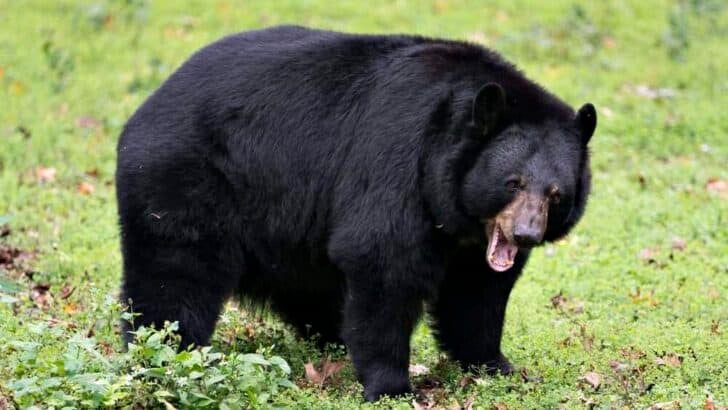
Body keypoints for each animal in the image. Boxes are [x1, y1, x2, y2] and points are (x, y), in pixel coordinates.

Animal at [116, 25, 596, 401]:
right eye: (512, 183)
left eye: (556, 194)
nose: (525, 234)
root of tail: (147, 106)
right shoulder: (400, 163)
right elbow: (382, 259)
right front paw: (392, 387)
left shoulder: (470, 242)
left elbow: (477, 291)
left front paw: (495, 365)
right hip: (187, 178)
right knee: (176, 275)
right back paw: (167, 353)